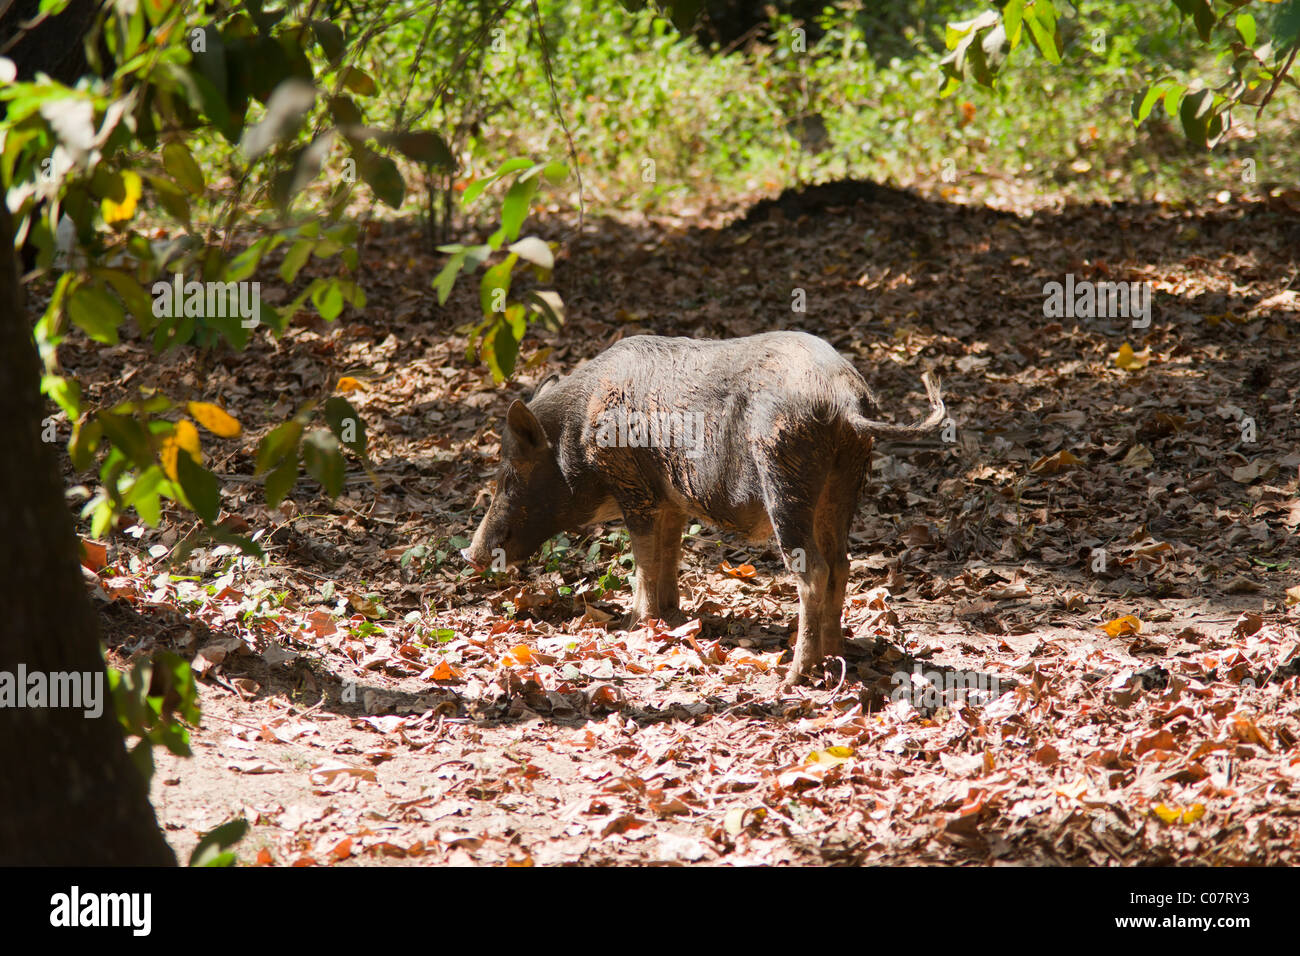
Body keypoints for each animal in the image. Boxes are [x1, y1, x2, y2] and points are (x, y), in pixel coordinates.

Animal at [464, 331, 944, 687]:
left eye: (509, 476)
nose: (471, 554)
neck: (577, 432)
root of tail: (843, 399)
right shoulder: (672, 500)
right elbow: (668, 554)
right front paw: (672, 618)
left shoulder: (633, 486)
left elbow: (642, 558)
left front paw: (633, 625)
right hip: (843, 486)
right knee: (841, 565)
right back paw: (835, 658)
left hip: (784, 479)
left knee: (815, 571)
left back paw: (792, 677)